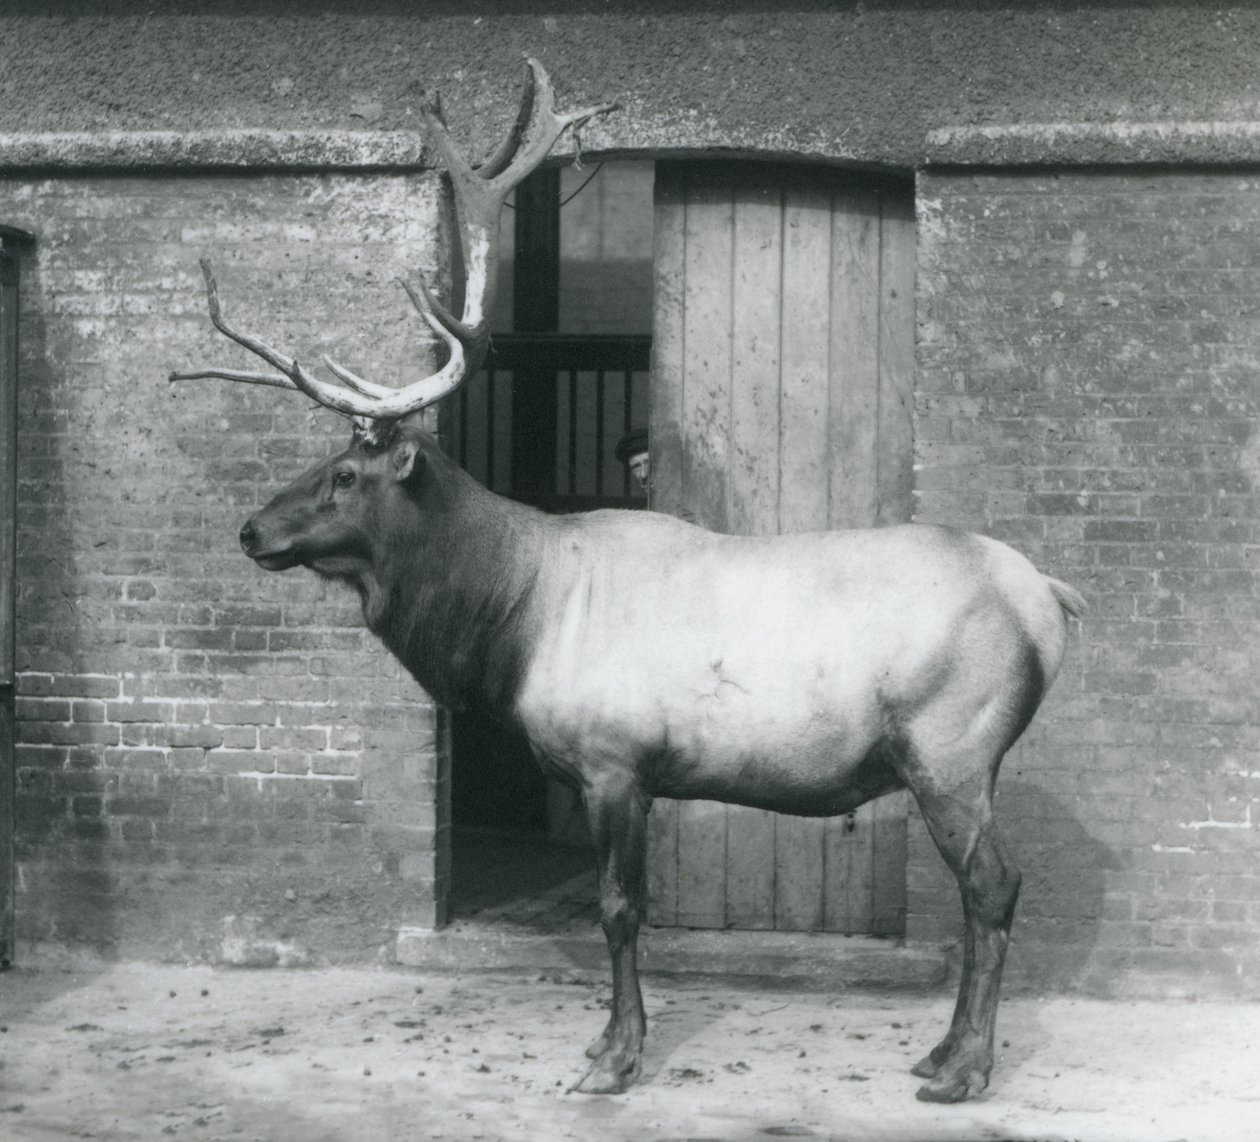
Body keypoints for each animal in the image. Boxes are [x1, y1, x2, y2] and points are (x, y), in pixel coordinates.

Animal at [170, 59, 1085, 1104]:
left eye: (346, 475)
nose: (251, 530)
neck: (512, 618)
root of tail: (1052, 599)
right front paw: (611, 1046)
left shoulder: (617, 762)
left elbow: (617, 909)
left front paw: (614, 1056)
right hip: (968, 758)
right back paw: (938, 1050)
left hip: (951, 748)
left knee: (992, 886)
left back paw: (963, 1067)